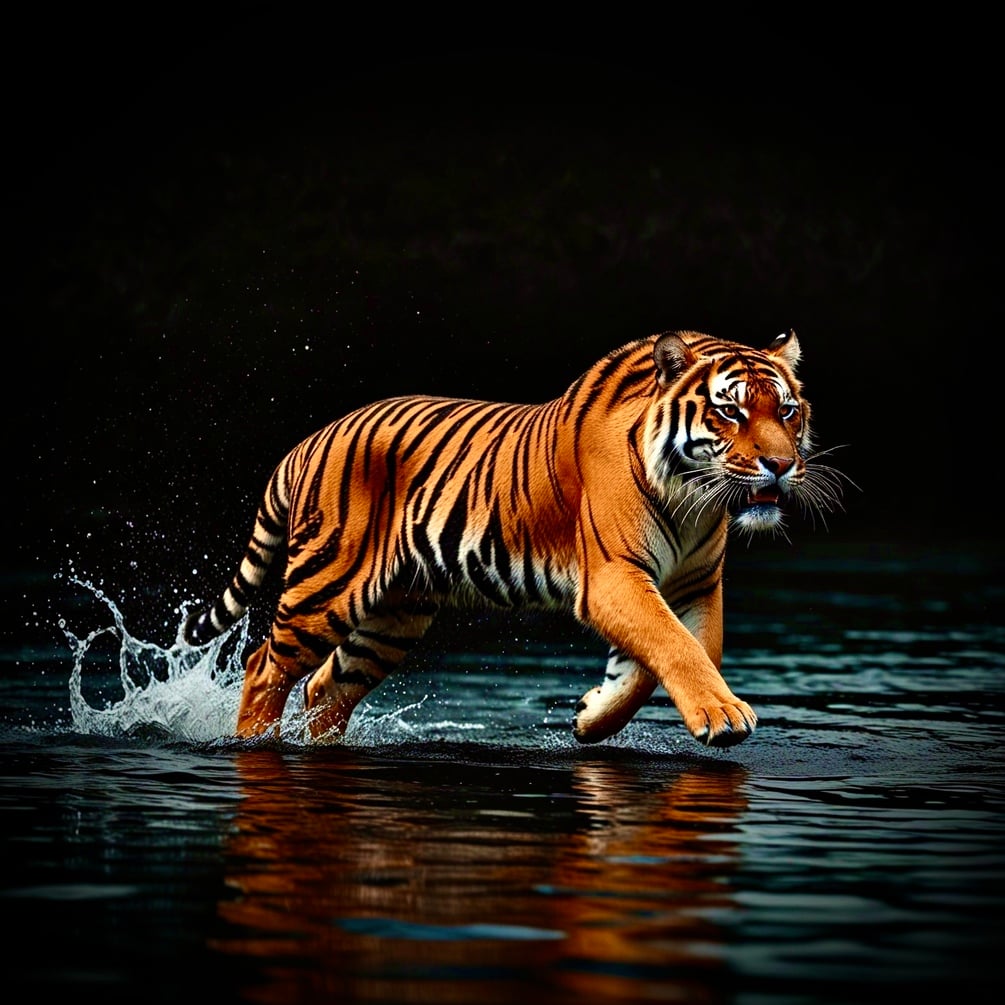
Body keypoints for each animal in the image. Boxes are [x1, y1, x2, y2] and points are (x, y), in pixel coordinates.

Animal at [182, 328, 845, 748]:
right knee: (263, 665)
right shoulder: (614, 576)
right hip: (326, 589)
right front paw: (724, 715)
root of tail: (309, 439)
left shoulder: (696, 585)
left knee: (326, 686)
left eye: (787, 411)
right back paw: (253, 744)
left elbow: (673, 656)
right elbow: (675, 647)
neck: (694, 499)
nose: (781, 466)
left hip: (395, 616)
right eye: (730, 411)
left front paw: (590, 718)